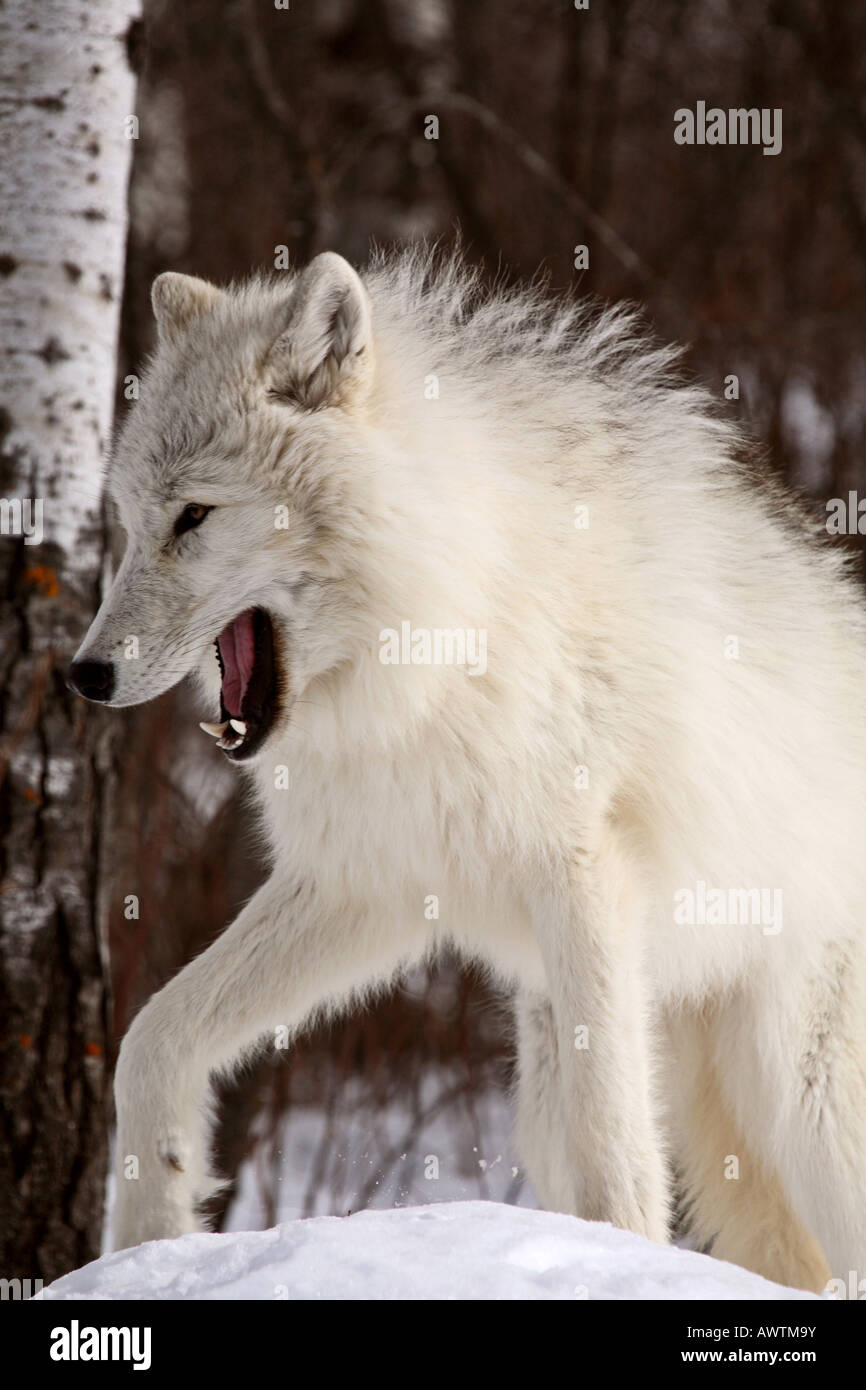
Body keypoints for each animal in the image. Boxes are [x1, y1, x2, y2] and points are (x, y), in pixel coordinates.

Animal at [69, 247, 866, 1291]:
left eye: (194, 516)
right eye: (128, 521)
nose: (83, 675)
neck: (441, 639)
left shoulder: (584, 878)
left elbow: (617, 1154)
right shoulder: (367, 887)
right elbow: (150, 1039)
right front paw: (149, 1235)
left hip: (801, 1098)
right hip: (571, 1069)